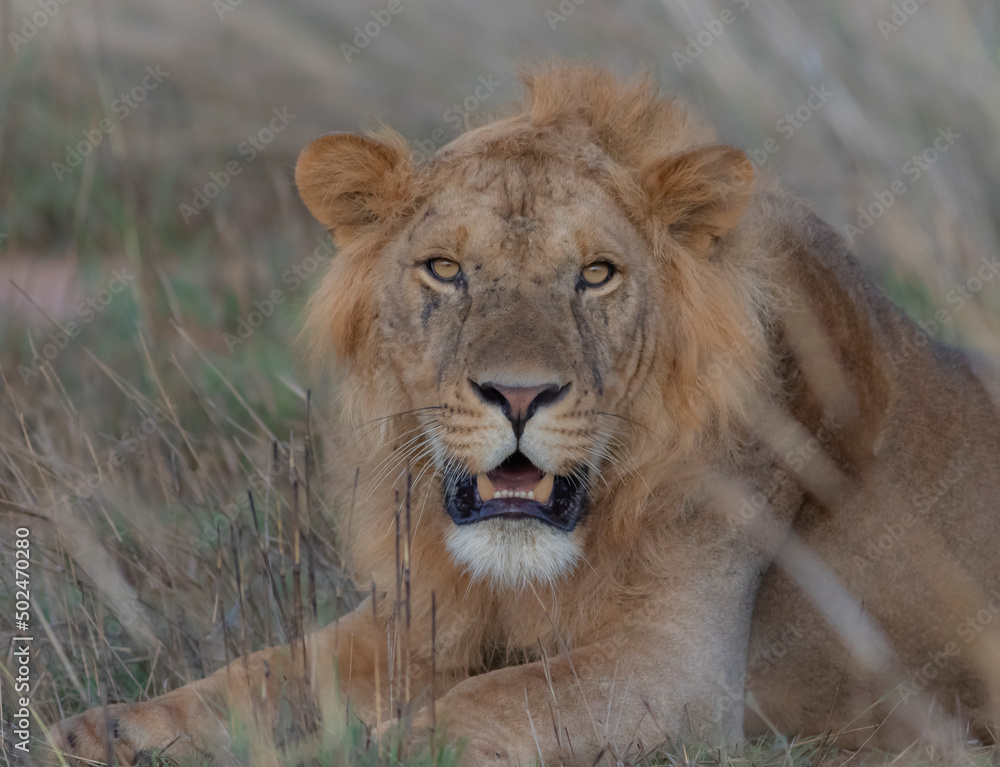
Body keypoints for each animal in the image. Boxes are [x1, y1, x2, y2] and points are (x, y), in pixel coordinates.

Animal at [52, 64, 1000, 766]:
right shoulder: (418, 617)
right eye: (445, 269)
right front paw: (109, 730)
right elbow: (268, 671)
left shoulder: (682, 673)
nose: (516, 395)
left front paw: (364, 749)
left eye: (596, 274)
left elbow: (488, 702)